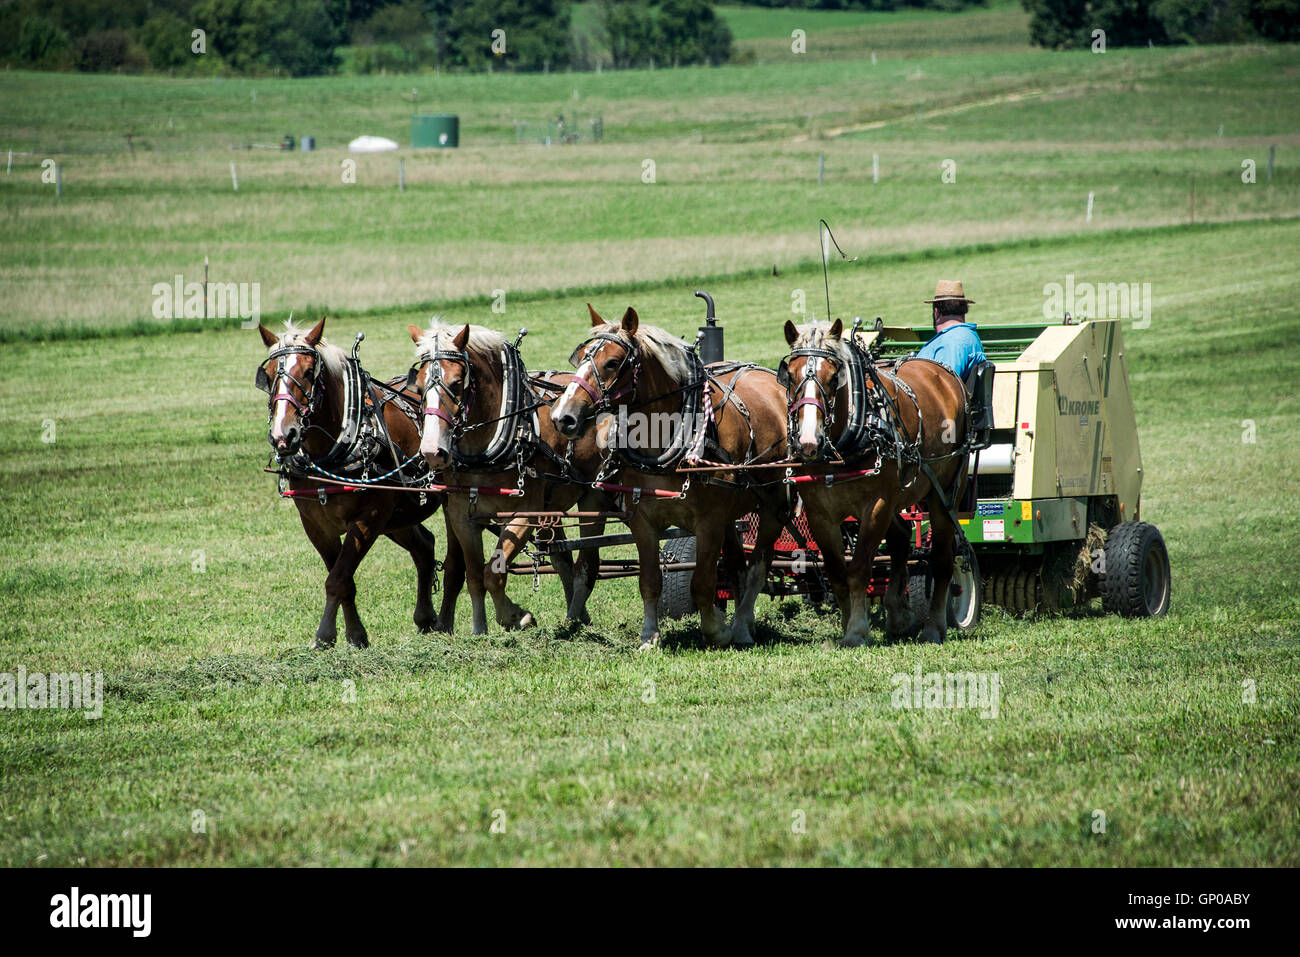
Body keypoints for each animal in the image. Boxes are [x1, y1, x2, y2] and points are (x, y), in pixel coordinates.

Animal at [255, 317, 464, 648]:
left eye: (309, 372)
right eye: (271, 373)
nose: (283, 435)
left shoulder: (369, 518)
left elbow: (338, 578)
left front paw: (325, 635)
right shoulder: (316, 525)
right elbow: (343, 579)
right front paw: (354, 635)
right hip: (397, 516)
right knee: (424, 546)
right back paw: (425, 617)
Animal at [409, 321, 612, 634]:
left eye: (457, 383)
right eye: (419, 388)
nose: (433, 452)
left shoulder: (525, 513)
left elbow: (493, 573)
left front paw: (516, 616)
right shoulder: (461, 515)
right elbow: (475, 575)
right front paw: (479, 630)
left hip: (593, 498)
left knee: (587, 563)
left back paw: (574, 618)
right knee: (563, 558)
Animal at [549, 305, 789, 650]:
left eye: (612, 362)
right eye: (579, 357)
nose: (562, 418)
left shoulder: (709, 522)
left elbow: (702, 583)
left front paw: (716, 631)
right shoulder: (643, 522)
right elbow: (650, 581)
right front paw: (650, 637)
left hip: (773, 505)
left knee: (758, 566)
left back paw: (742, 626)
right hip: (732, 514)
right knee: (738, 566)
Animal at [780, 317, 970, 645]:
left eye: (834, 378)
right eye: (789, 376)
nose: (808, 442)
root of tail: (943, 372)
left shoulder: (876, 505)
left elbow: (858, 569)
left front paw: (857, 630)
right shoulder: (820, 514)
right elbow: (836, 572)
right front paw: (848, 624)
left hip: (944, 493)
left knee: (942, 558)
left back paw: (933, 627)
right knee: (902, 538)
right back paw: (898, 616)